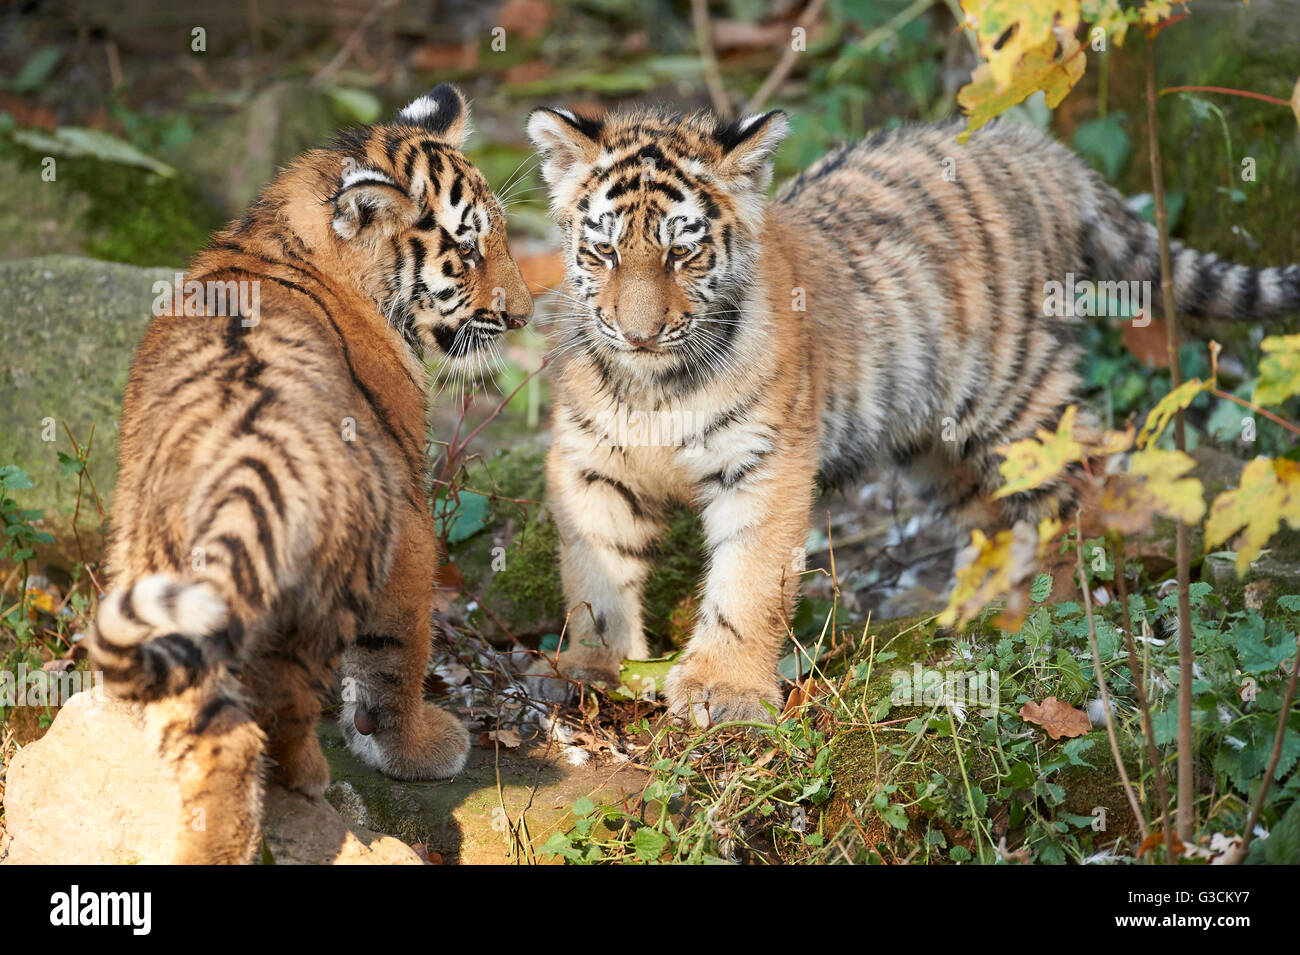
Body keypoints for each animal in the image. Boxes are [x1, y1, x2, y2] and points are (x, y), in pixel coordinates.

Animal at [87, 84, 533, 864]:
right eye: (469, 247)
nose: (524, 315)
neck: (280, 231)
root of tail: (246, 468)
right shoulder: (410, 521)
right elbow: (396, 657)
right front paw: (415, 748)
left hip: (156, 570)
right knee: (279, 711)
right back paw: (307, 782)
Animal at [524, 104, 1300, 727]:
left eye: (683, 253)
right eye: (604, 251)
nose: (639, 333)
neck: (651, 384)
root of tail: (1029, 147)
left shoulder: (765, 465)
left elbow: (746, 584)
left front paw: (726, 692)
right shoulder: (588, 465)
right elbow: (595, 575)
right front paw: (592, 669)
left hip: (1017, 394)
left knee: (1080, 482)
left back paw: (1061, 607)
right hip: (934, 439)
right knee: (991, 514)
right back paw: (976, 613)